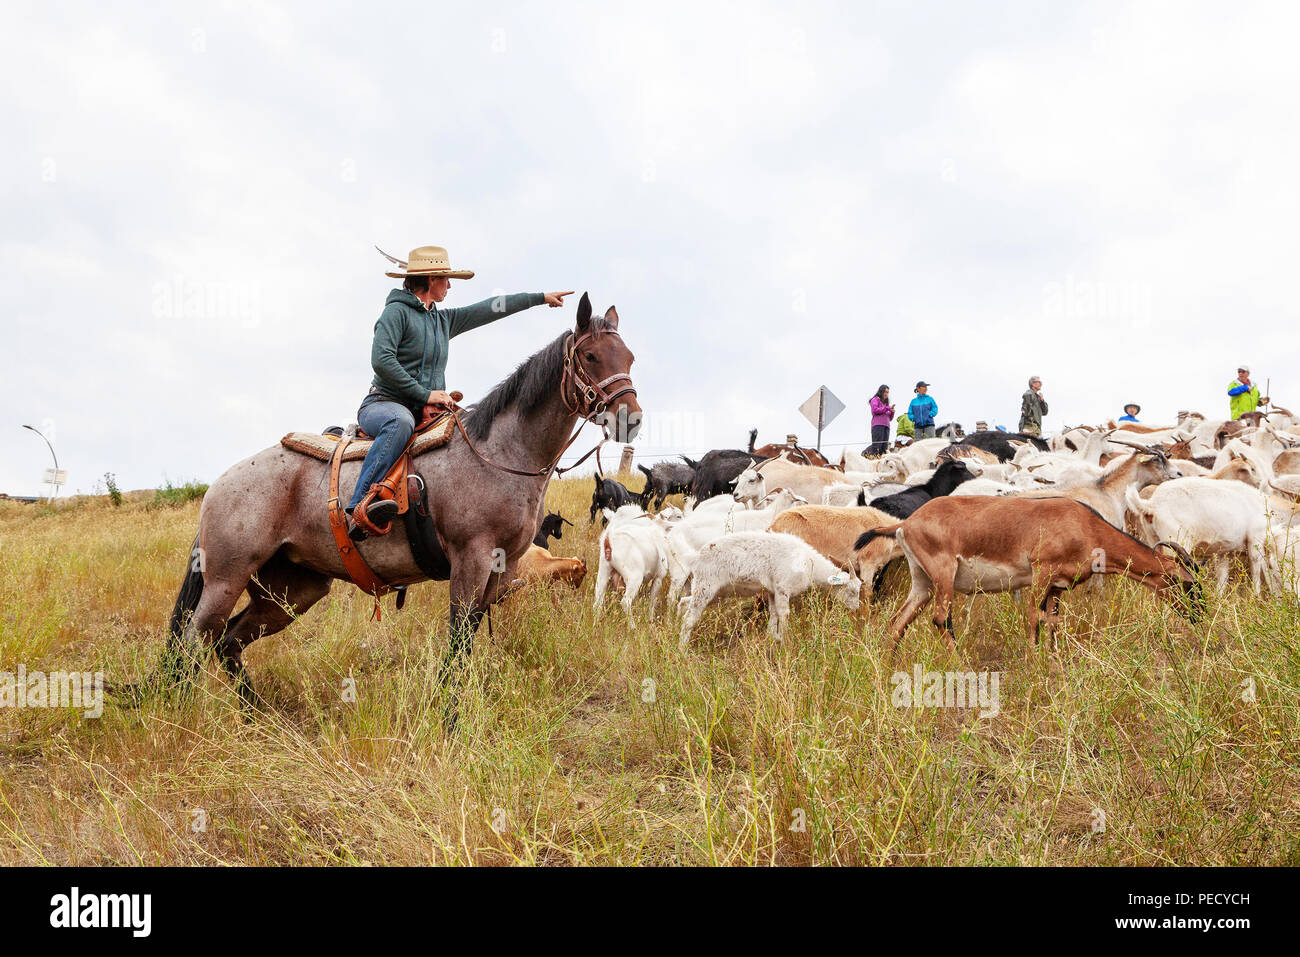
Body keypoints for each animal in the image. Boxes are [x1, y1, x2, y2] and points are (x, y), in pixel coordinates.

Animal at [677, 532, 860, 648]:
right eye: (852, 591)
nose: (856, 609)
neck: (809, 565)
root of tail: (696, 557)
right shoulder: (782, 589)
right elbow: (784, 614)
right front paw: (786, 642)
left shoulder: (772, 592)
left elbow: (773, 615)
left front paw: (774, 639)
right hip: (706, 586)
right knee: (690, 619)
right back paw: (682, 650)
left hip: (714, 592)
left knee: (684, 603)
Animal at [854, 497, 1202, 655]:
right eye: (1187, 583)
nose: (1199, 615)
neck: (1084, 524)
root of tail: (907, 522)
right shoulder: (1041, 575)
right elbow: (1034, 619)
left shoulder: (1057, 588)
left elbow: (1052, 625)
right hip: (943, 579)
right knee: (940, 619)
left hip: (922, 584)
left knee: (897, 623)